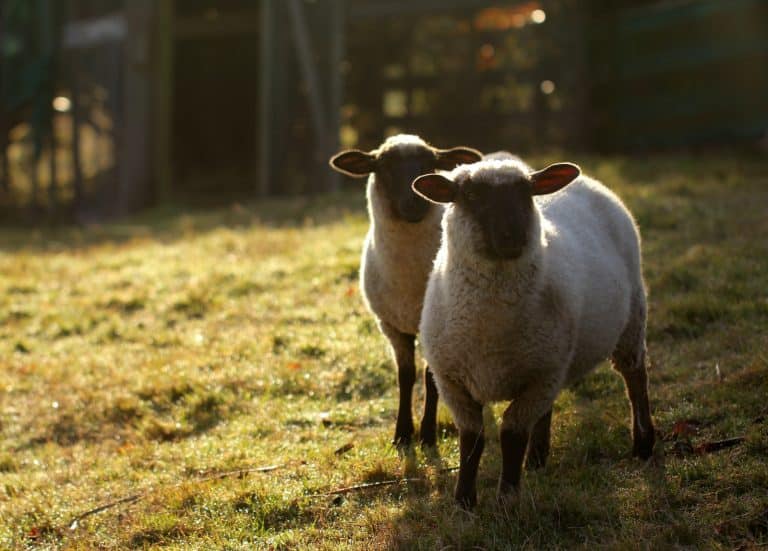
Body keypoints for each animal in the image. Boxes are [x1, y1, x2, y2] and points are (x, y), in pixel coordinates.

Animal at [329, 134, 483, 447]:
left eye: (429, 164)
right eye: (384, 166)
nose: (414, 202)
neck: (409, 282)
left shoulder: (432, 327)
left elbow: (429, 377)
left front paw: (427, 434)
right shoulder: (391, 326)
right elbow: (405, 376)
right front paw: (402, 433)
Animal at [412, 158, 655, 508]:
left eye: (526, 192)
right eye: (470, 194)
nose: (513, 236)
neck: (491, 327)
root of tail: (589, 181)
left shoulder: (541, 376)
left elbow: (511, 436)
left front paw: (507, 500)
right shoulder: (453, 381)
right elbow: (472, 440)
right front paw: (464, 501)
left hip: (631, 319)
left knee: (635, 380)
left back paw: (643, 444)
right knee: (547, 409)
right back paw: (538, 459)